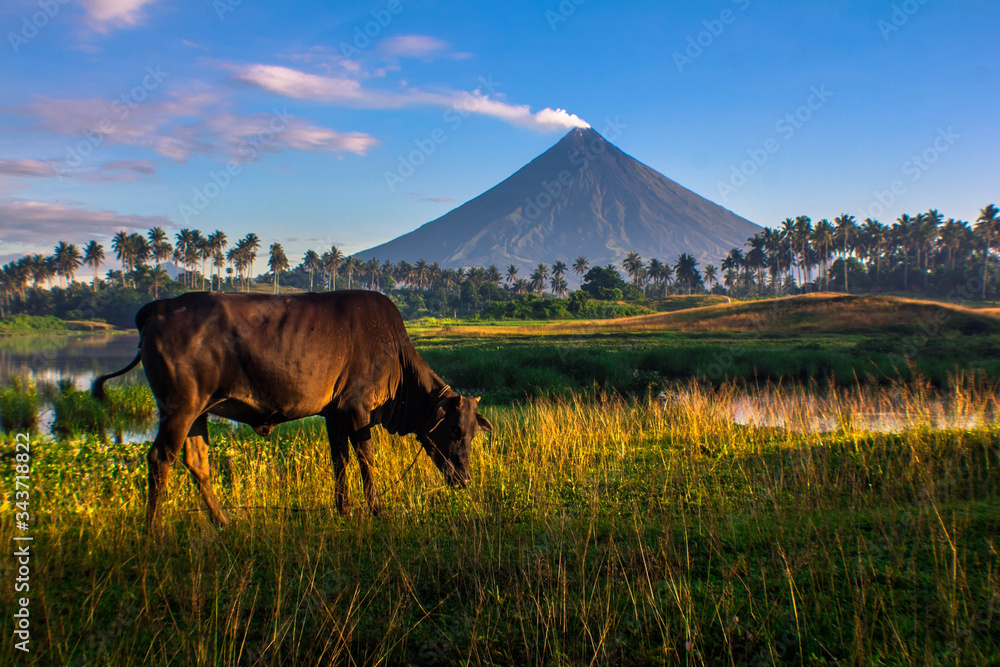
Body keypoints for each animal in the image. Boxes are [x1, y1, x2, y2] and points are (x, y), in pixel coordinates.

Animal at [92, 290, 493, 533]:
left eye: (473, 433)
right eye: (455, 431)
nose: (465, 480)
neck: (396, 359)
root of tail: (157, 307)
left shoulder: (335, 413)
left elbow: (340, 460)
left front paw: (344, 510)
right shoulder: (357, 408)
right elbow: (366, 459)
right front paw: (377, 510)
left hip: (198, 413)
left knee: (197, 461)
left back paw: (224, 522)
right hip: (179, 408)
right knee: (161, 458)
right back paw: (153, 533)